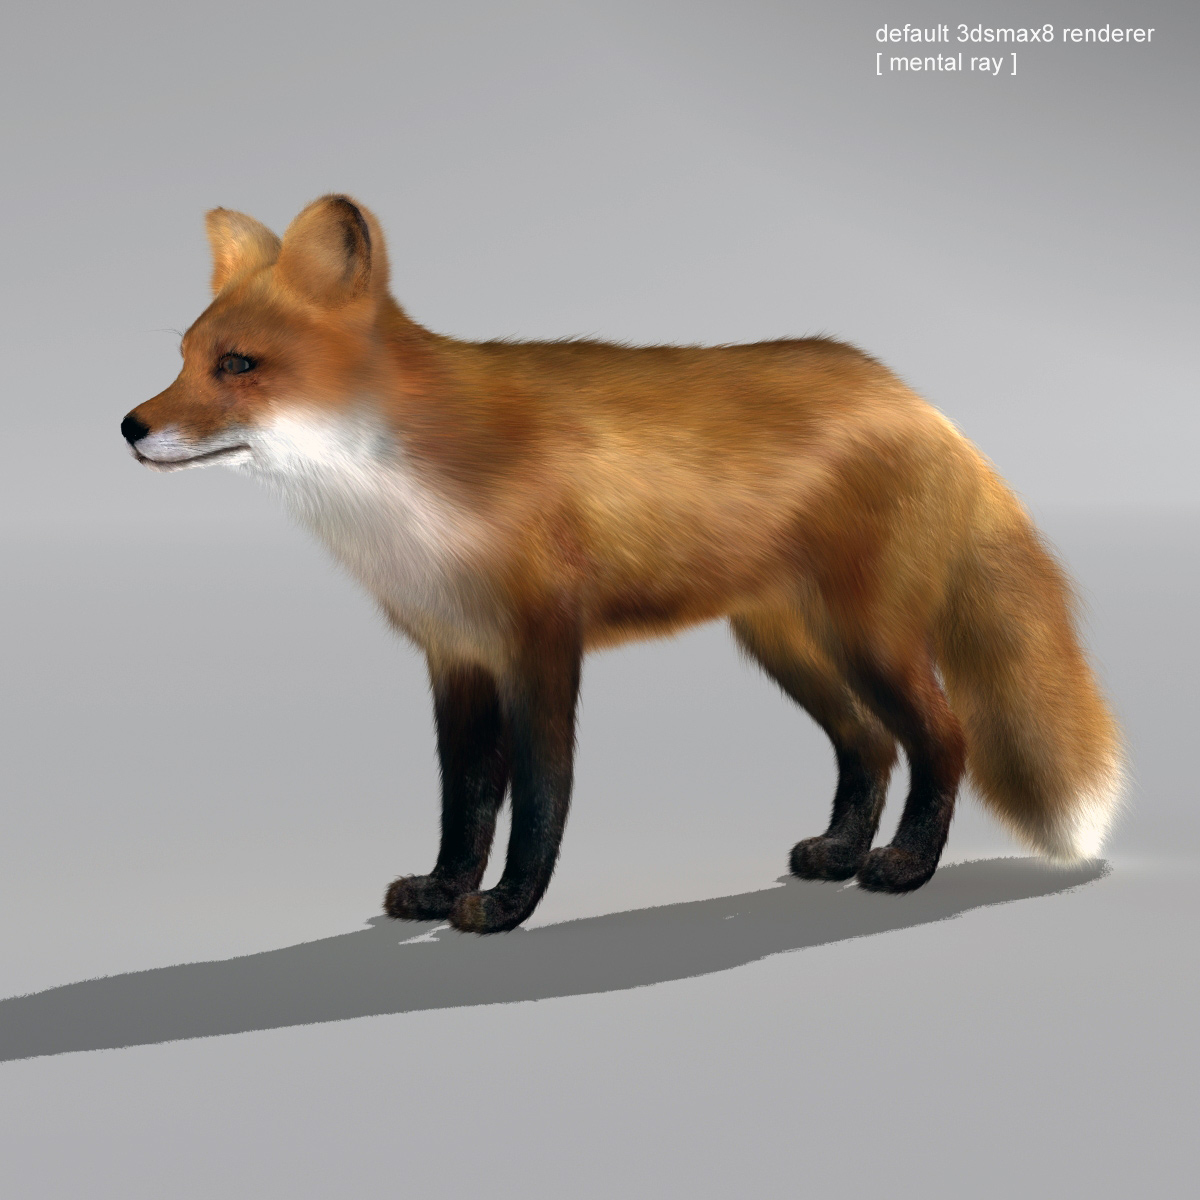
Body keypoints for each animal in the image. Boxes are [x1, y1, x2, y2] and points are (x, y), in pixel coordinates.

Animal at [121, 194, 1123, 934]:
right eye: (184, 358)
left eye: (238, 365)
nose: (129, 426)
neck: (408, 497)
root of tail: (912, 395)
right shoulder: (456, 655)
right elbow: (463, 801)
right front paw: (444, 891)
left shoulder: (539, 644)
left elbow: (539, 798)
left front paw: (507, 907)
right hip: (789, 647)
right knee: (868, 743)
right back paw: (839, 852)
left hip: (867, 638)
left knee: (942, 737)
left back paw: (906, 866)